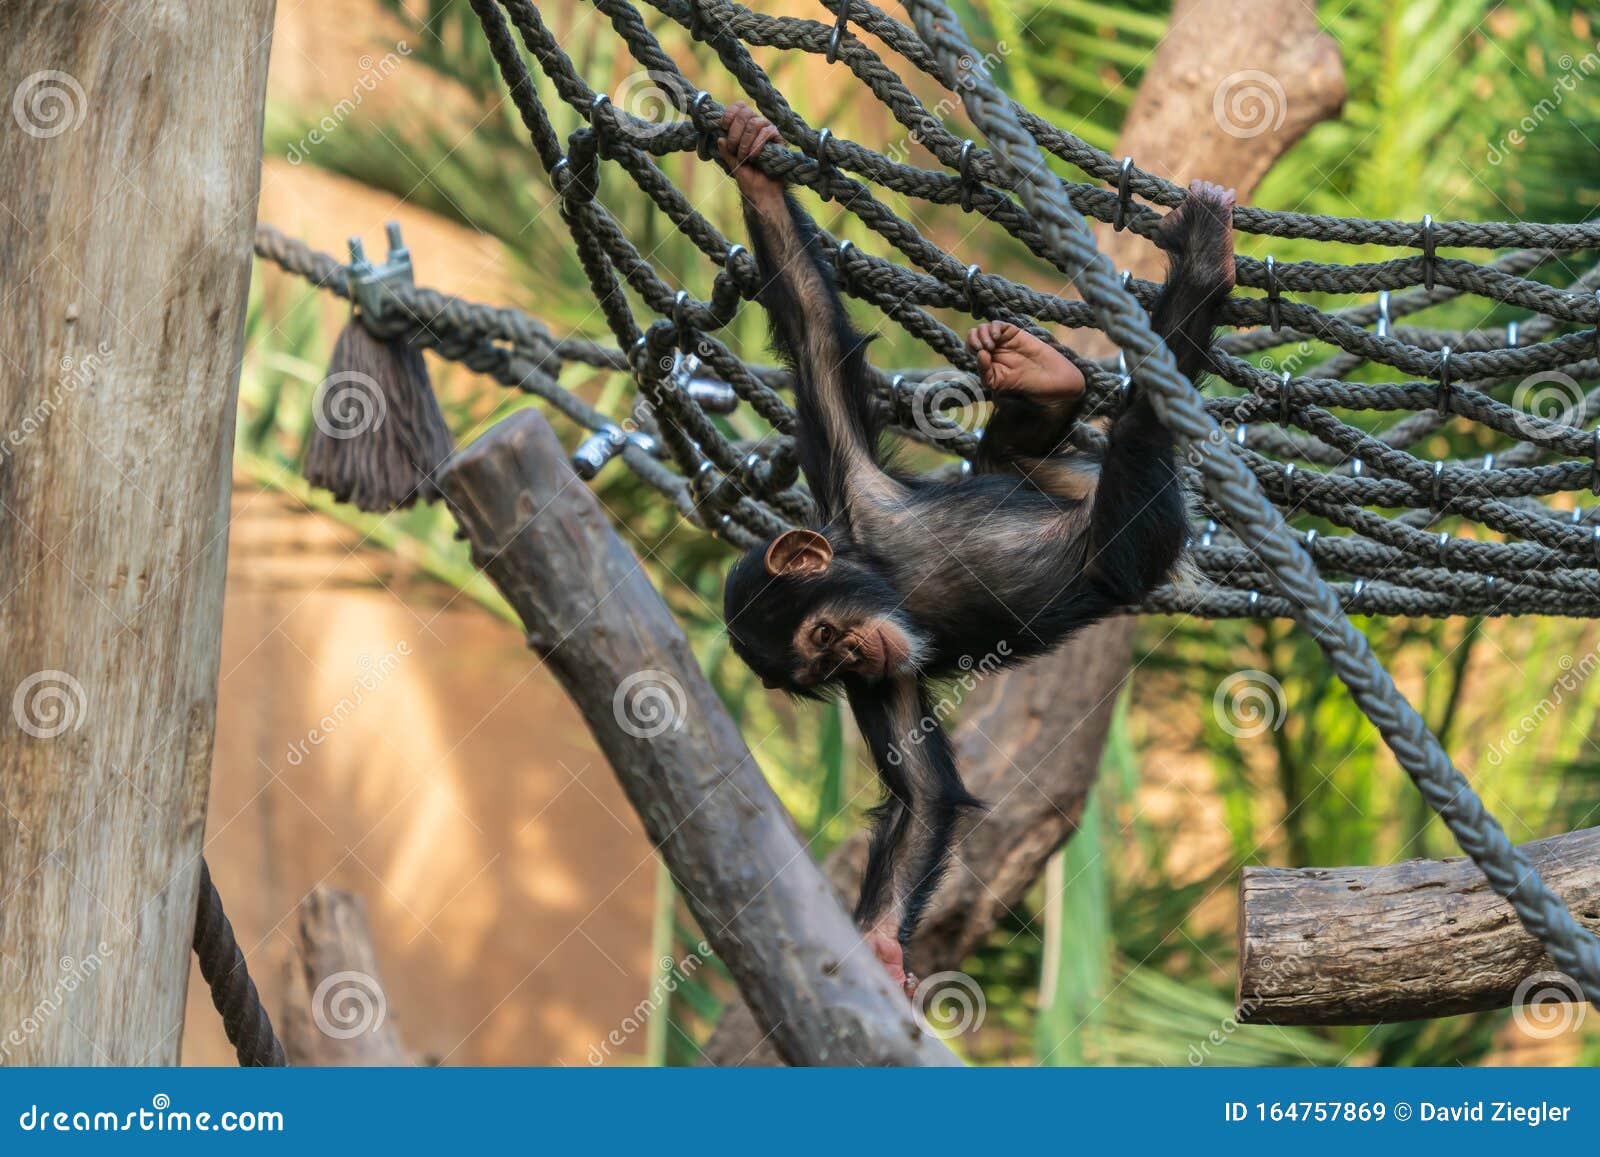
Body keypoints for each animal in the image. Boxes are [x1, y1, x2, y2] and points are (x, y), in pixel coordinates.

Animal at [716, 103, 1235, 991]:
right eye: (824, 664)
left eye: (823, 635)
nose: (853, 649)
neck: (884, 572)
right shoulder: (886, 675)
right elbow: (923, 794)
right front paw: (880, 942)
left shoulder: (849, 480)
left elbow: (813, 325)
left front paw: (754, 172)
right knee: (1027, 459)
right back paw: (1045, 377)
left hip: (1133, 527)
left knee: (1138, 437)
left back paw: (1198, 265)